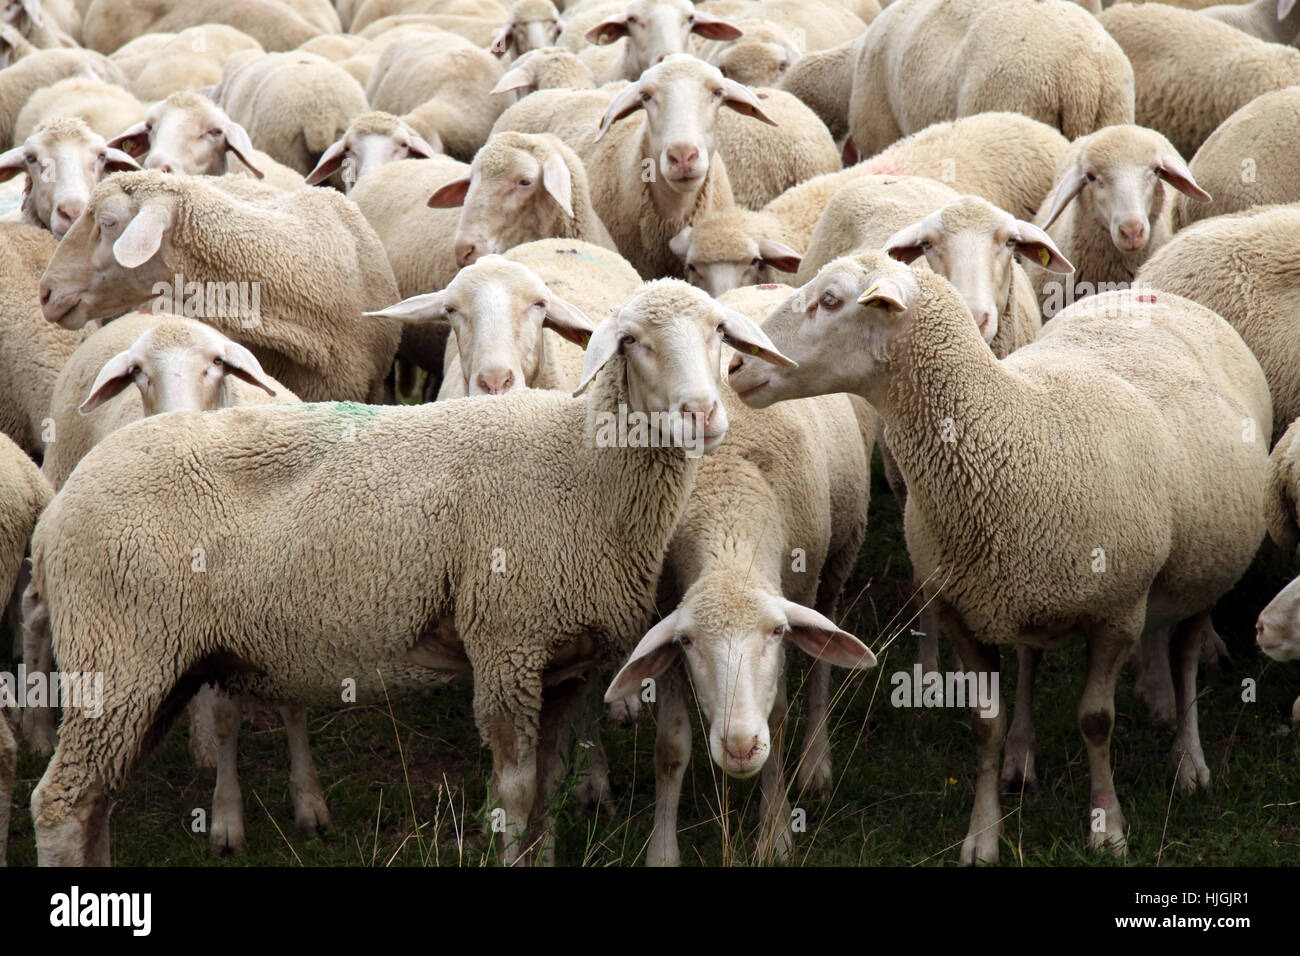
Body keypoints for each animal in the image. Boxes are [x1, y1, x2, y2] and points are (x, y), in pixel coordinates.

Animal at [27, 279, 798, 866]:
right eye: (633, 341)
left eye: (720, 333)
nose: (702, 414)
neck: (581, 468)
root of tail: (61, 500)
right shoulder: (506, 645)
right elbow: (517, 796)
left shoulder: (562, 662)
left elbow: (549, 791)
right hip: (119, 654)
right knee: (59, 804)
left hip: (156, 668)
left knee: (96, 800)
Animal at [729, 251, 1271, 864]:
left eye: (830, 299)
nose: (736, 366)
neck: (1010, 431)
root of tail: (1150, 295)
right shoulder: (963, 611)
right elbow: (985, 725)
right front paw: (983, 835)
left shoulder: (1118, 613)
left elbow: (1096, 720)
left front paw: (1107, 827)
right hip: (1024, 591)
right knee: (1031, 659)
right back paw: (1021, 759)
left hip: (1209, 567)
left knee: (1184, 655)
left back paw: (1189, 762)